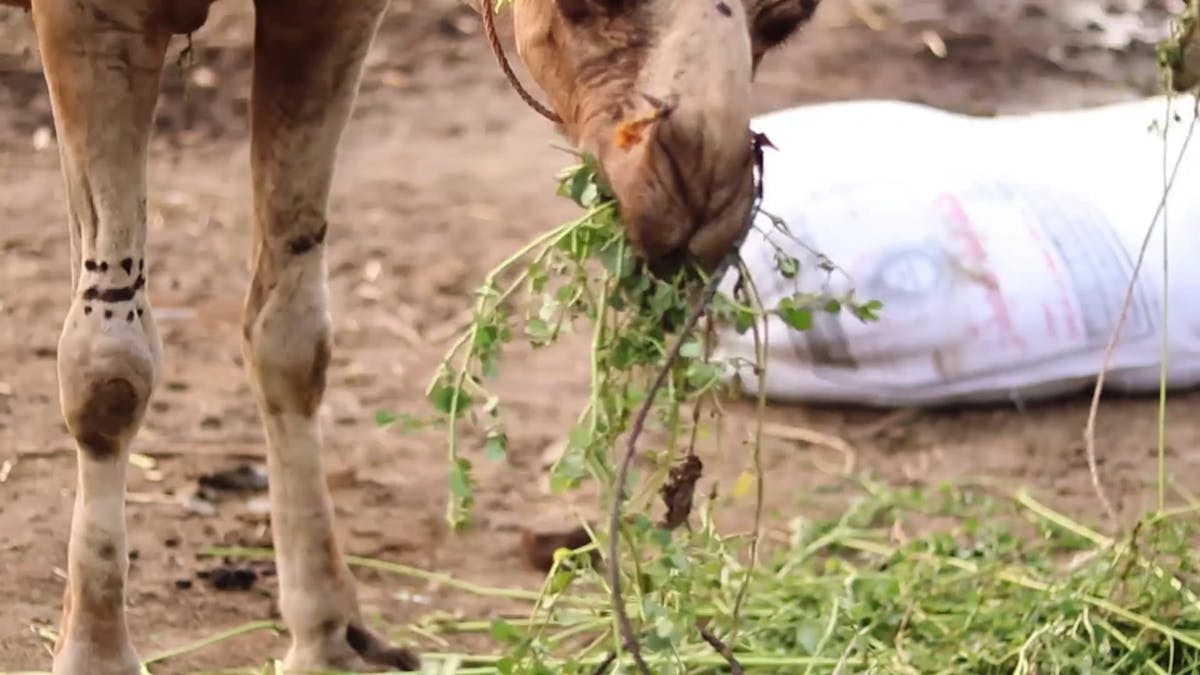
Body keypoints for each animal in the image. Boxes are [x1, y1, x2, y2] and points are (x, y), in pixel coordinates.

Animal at [1, 0, 821, 671]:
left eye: (786, 17)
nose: (701, 197)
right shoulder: (87, 15)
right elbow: (109, 369)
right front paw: (96, 654)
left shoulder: (328, 9)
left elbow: (291, 334)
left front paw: (327, 637)